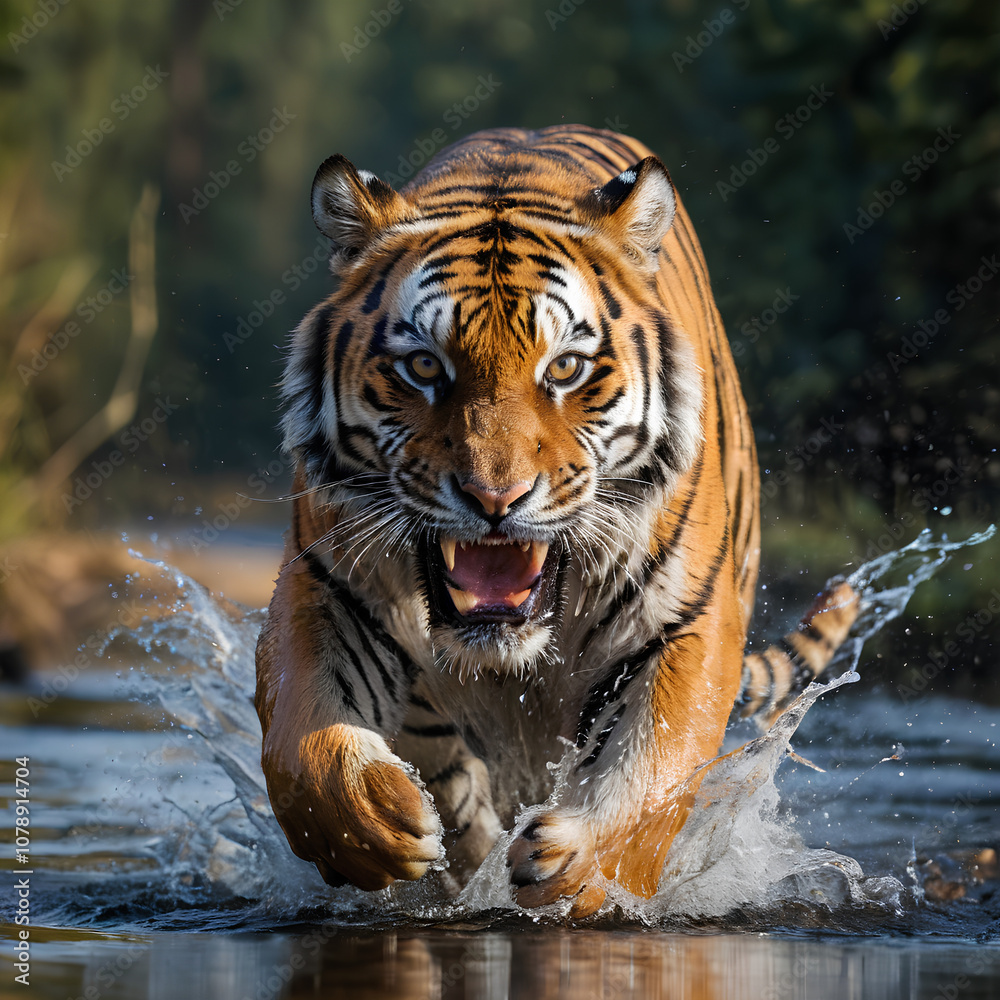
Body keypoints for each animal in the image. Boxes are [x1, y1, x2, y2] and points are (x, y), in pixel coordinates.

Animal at [254, 125, 859, 917]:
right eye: (424, 366)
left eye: (565, 369)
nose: (494, 497)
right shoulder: (326, 584)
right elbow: (301, 734)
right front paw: (374, 826)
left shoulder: (687, 619)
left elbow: (658, 763)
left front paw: (581, 866)